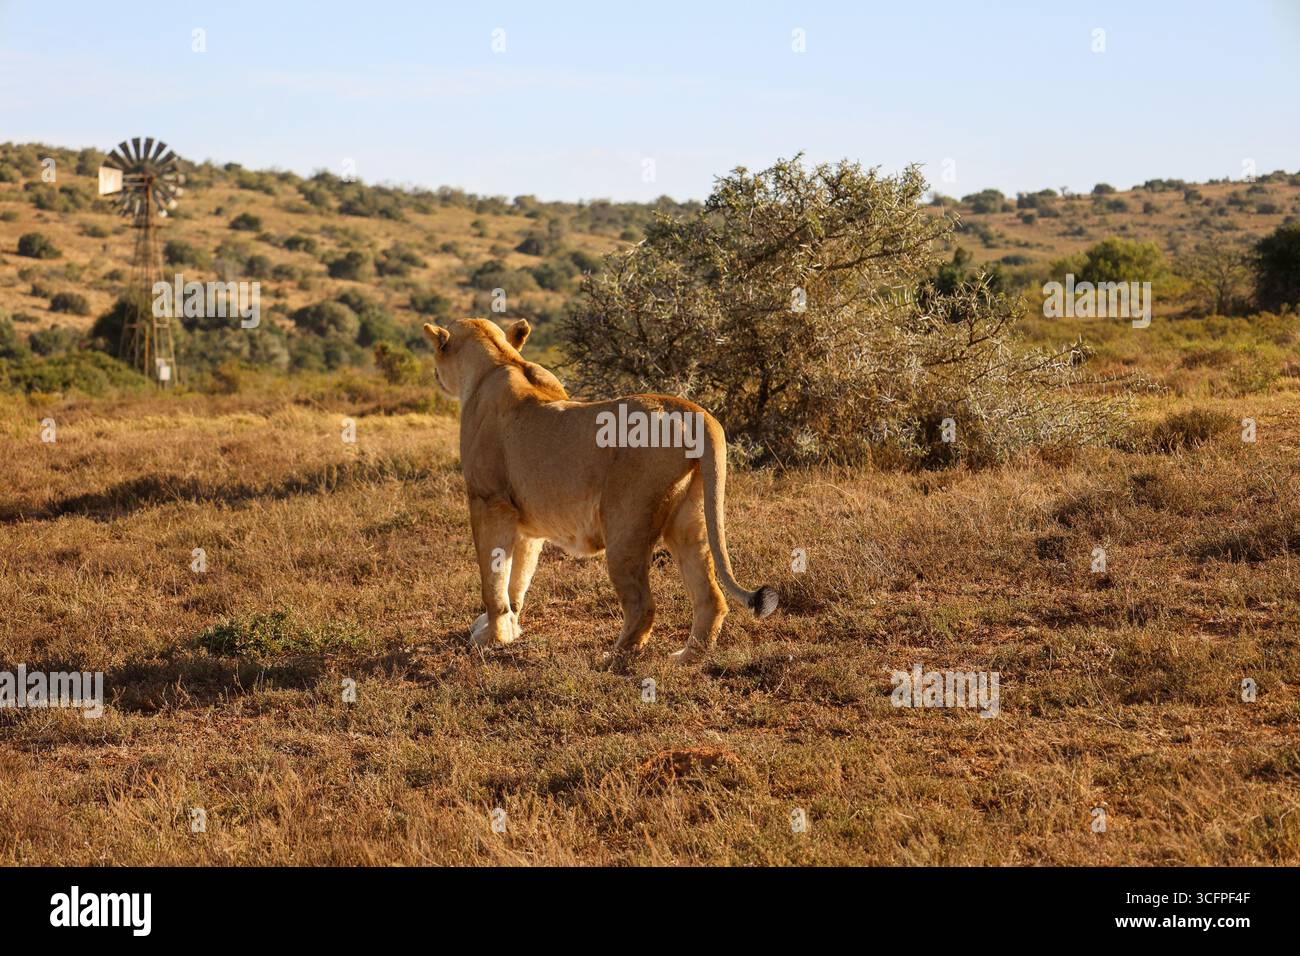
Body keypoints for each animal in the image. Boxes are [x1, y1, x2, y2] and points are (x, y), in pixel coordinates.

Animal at [423, 317, 778, 664]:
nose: (435, 375)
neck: (498, 360)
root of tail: (696, 414)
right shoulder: (525, 522)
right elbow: (516, 579)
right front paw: (508, 629)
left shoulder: (489, 502)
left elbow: (494, 581)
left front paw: (491, 638)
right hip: (688, 521)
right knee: (710, 597)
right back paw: (687, 656)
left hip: (625, 525)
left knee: (642, 605)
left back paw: (612, 657)